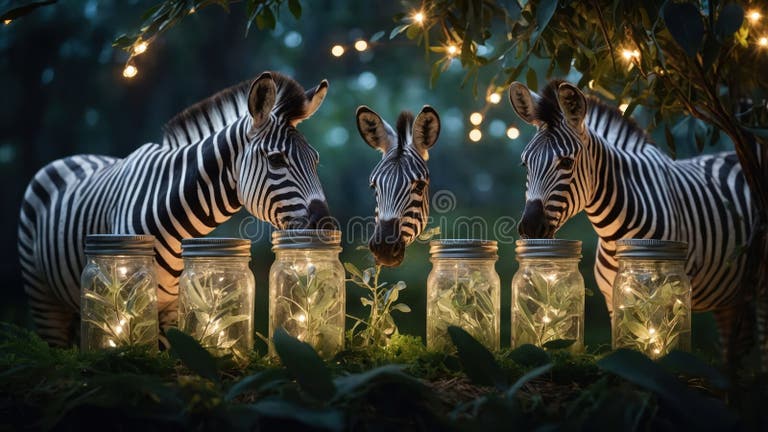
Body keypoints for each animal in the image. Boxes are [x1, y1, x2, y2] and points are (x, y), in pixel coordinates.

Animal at [18, 71, 333, 346]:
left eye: (316, 160)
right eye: (277, 160)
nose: (327, 227)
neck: (176, 217)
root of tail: (73, 157)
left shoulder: (172, 307)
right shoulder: (124, 294)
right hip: (42, 298)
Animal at [509, 79, 755, 358]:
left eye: (567, 163)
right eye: (524, 164)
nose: (530, 227)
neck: (613, 233)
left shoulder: (669, 296)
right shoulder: (613, 297)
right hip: (730, 295)